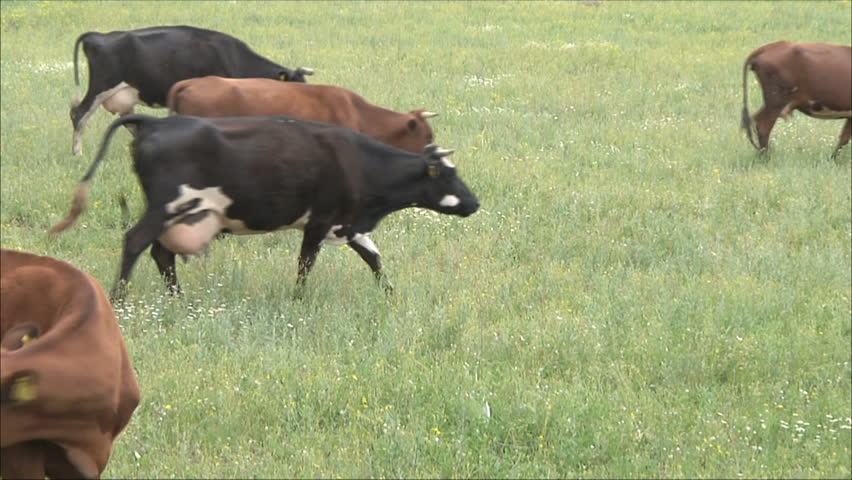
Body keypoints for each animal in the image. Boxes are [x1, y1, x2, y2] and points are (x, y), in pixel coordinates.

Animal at [49, 114, 480, 301]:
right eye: (448, 177)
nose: (475, 202)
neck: (361, 162)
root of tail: (157, 121)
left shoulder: (349, 224)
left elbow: (374, 259)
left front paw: (391, 296)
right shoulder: (320, 221)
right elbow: (306, 263)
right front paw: (298, 299)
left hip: (180, 214)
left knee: (161, 253)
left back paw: (177, 299)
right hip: (166, 206)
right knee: (136, 242)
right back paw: (119, 299)